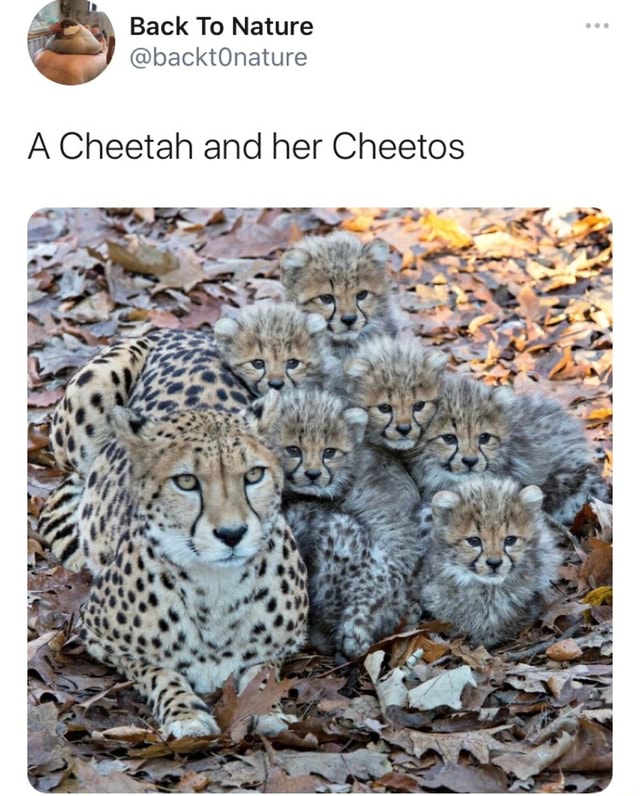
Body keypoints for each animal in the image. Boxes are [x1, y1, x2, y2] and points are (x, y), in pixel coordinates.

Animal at [78, 402, 308, 739]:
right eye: (186, 481)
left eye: (254, 475)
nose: (232, 533)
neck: (217, 586)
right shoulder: (97, 635)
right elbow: (159, 670)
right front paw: (186, 714)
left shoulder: (285, 644)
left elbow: (262, 673)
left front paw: (266, 709)